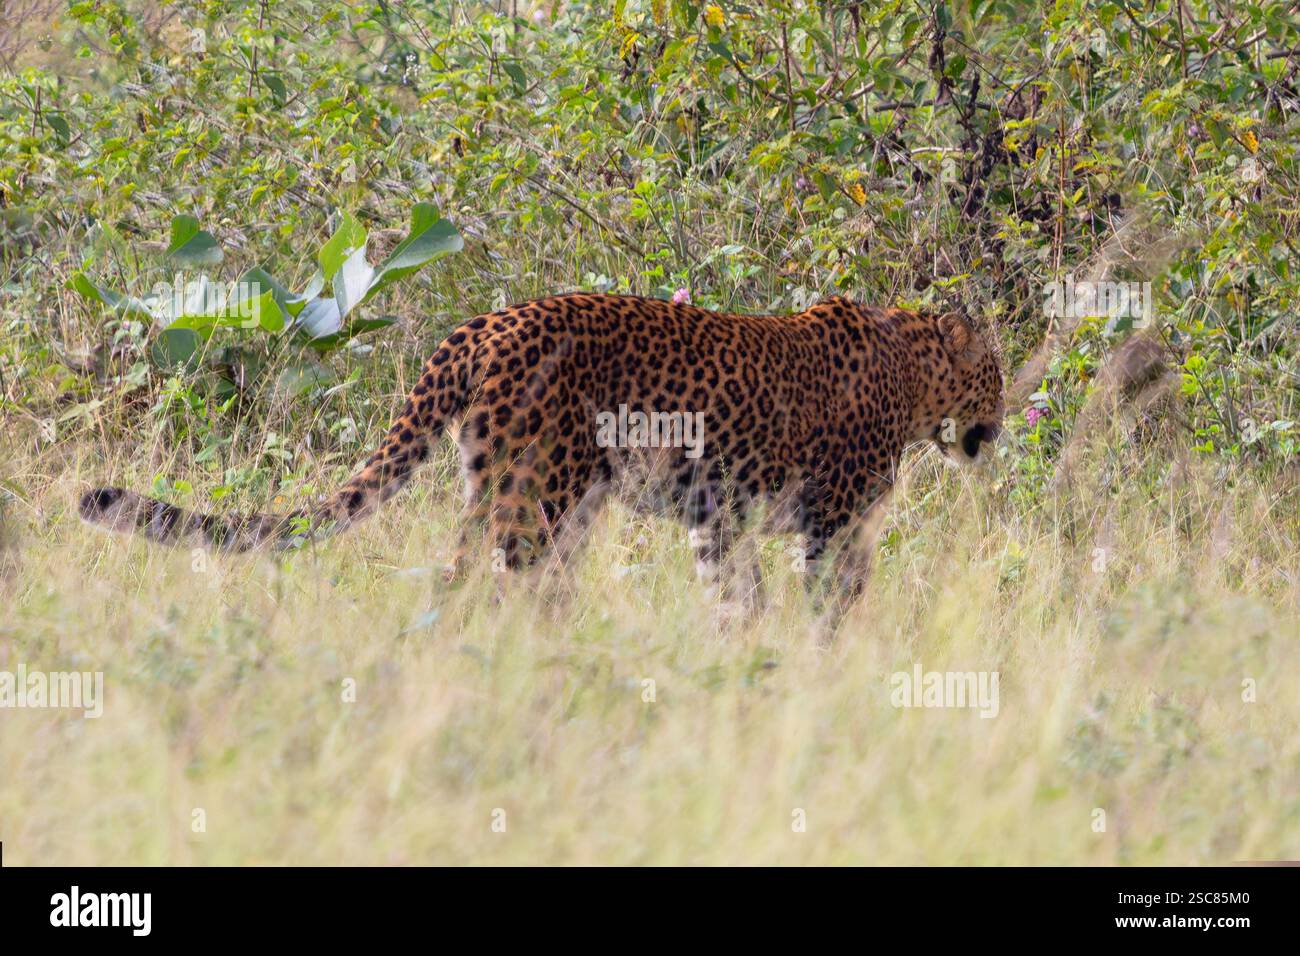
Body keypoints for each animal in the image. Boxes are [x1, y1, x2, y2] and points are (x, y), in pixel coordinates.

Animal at [80, 293, 1004, 598]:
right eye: (996, 376)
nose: (995, 430)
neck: (911, 366)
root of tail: (485, 324)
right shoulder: (834, 522)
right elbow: (832, 606)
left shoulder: (719, 520)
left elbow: (734, 601)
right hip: (537, 495)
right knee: (479, 585)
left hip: (514, 488)